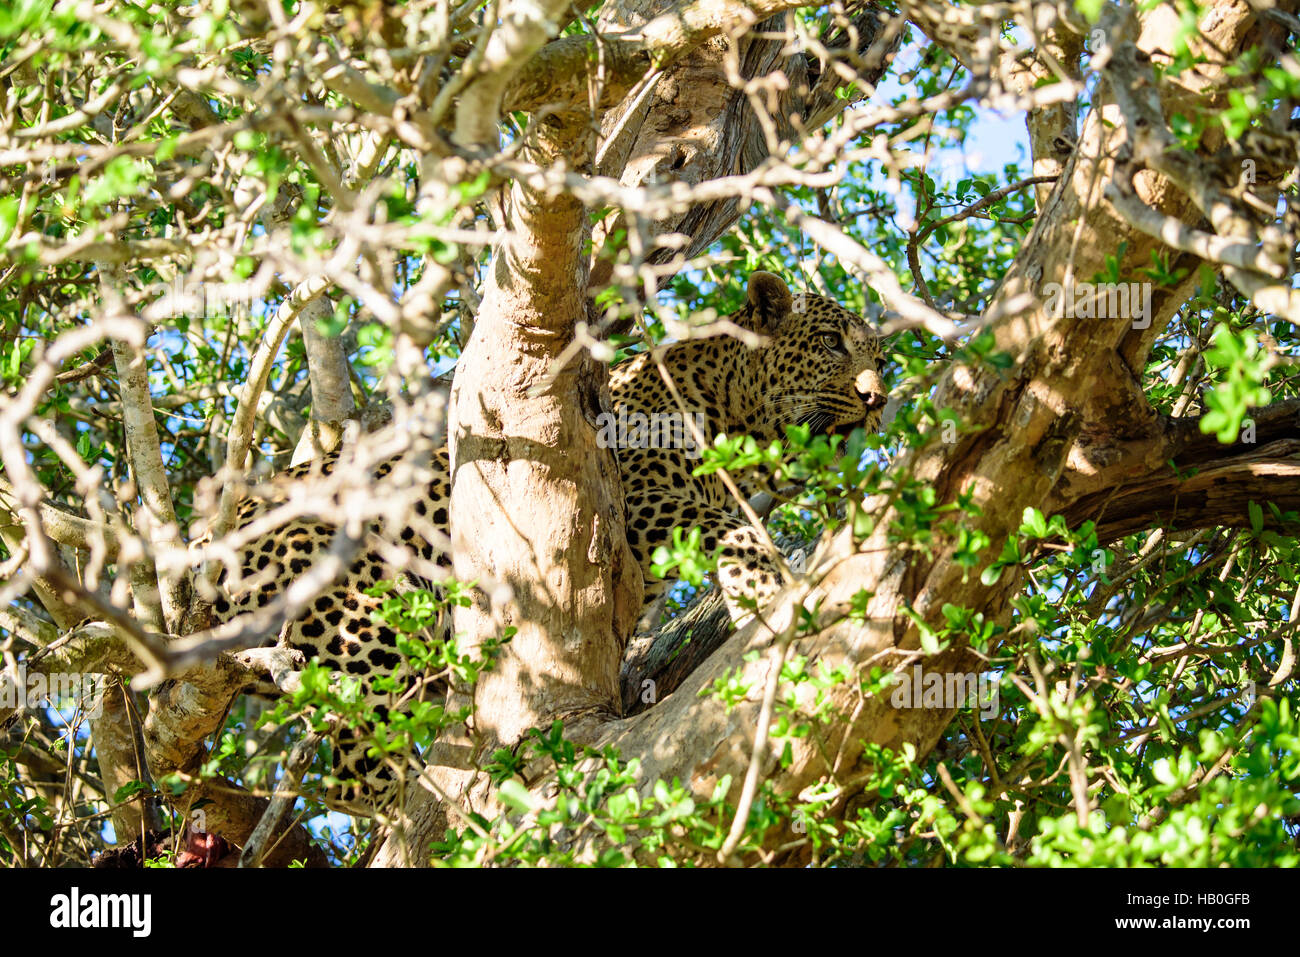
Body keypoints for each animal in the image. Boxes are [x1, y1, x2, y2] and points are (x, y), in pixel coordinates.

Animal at [206, 271, 886, 814]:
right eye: (831, 343)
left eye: (881, 356)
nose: (877, 398)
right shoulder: (633, 497)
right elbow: (731, 526)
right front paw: (770, 586)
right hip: (367, 604)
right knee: (358, 775)